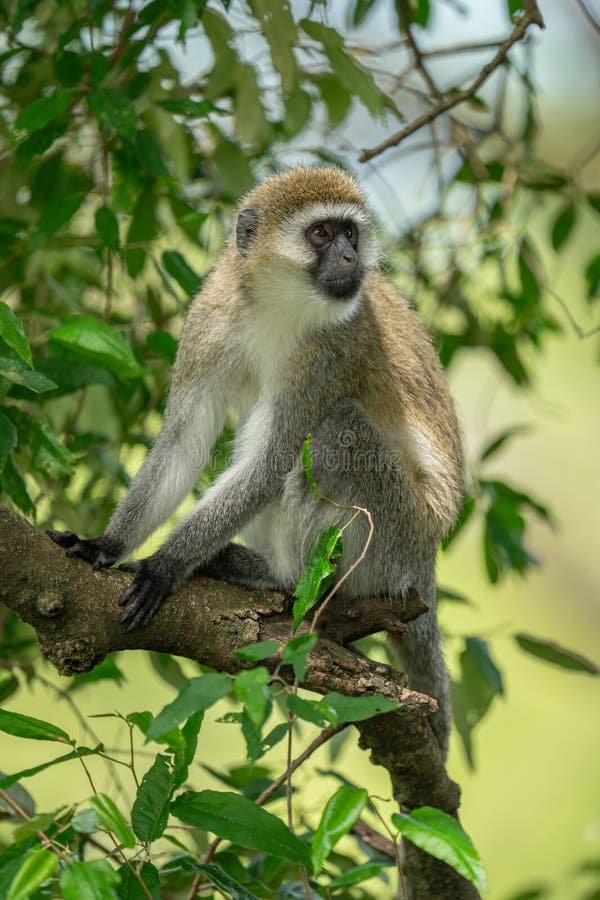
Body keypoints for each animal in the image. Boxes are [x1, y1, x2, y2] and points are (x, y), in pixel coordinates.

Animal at [49, 166, 463, 758]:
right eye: (321, 233)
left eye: (350, 233)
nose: (350, 258)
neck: (274, 304)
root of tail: (427, 555)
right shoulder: (210, 316)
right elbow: (184, 442)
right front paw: (104, 545)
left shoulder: (331, 347)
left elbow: (274, 459)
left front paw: (165, 564)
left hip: (394, 538)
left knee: (332, 430)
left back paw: (282, 578)